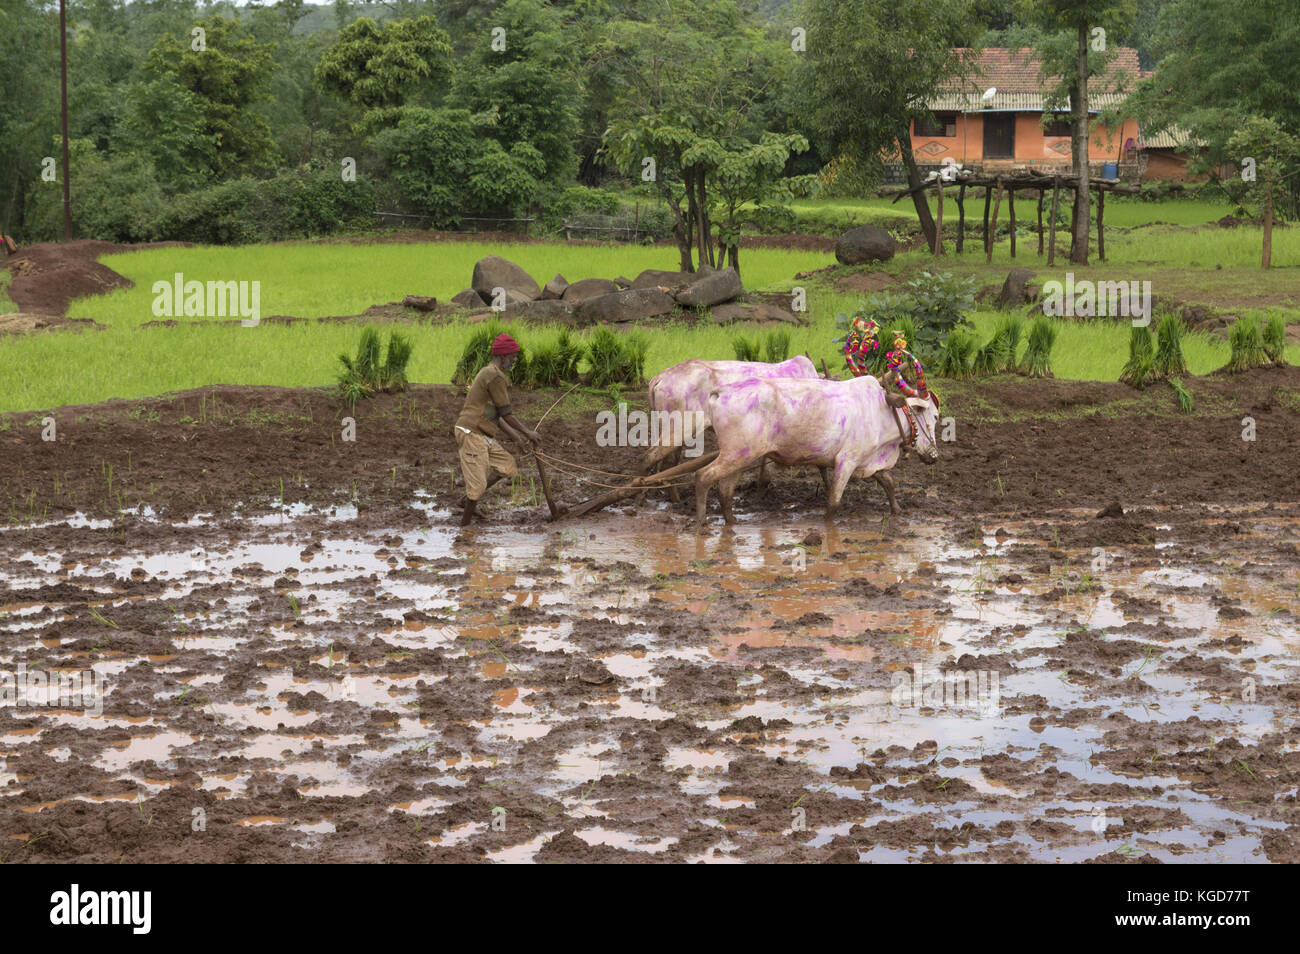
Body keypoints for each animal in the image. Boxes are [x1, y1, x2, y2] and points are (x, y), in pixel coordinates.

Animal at [694, 374, 940, 530]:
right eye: (936, 416)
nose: (934, 455)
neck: (884, 411)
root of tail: (722, 391)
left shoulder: (866, 461)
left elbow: (888, 481)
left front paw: (897, 510)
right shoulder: (846, 461)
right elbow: (833, 502)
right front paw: (828, 526)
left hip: (740, 457)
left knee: (725, 491)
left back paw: (731, 522)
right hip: (736, 455)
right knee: (703, 477)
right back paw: (702, 523)